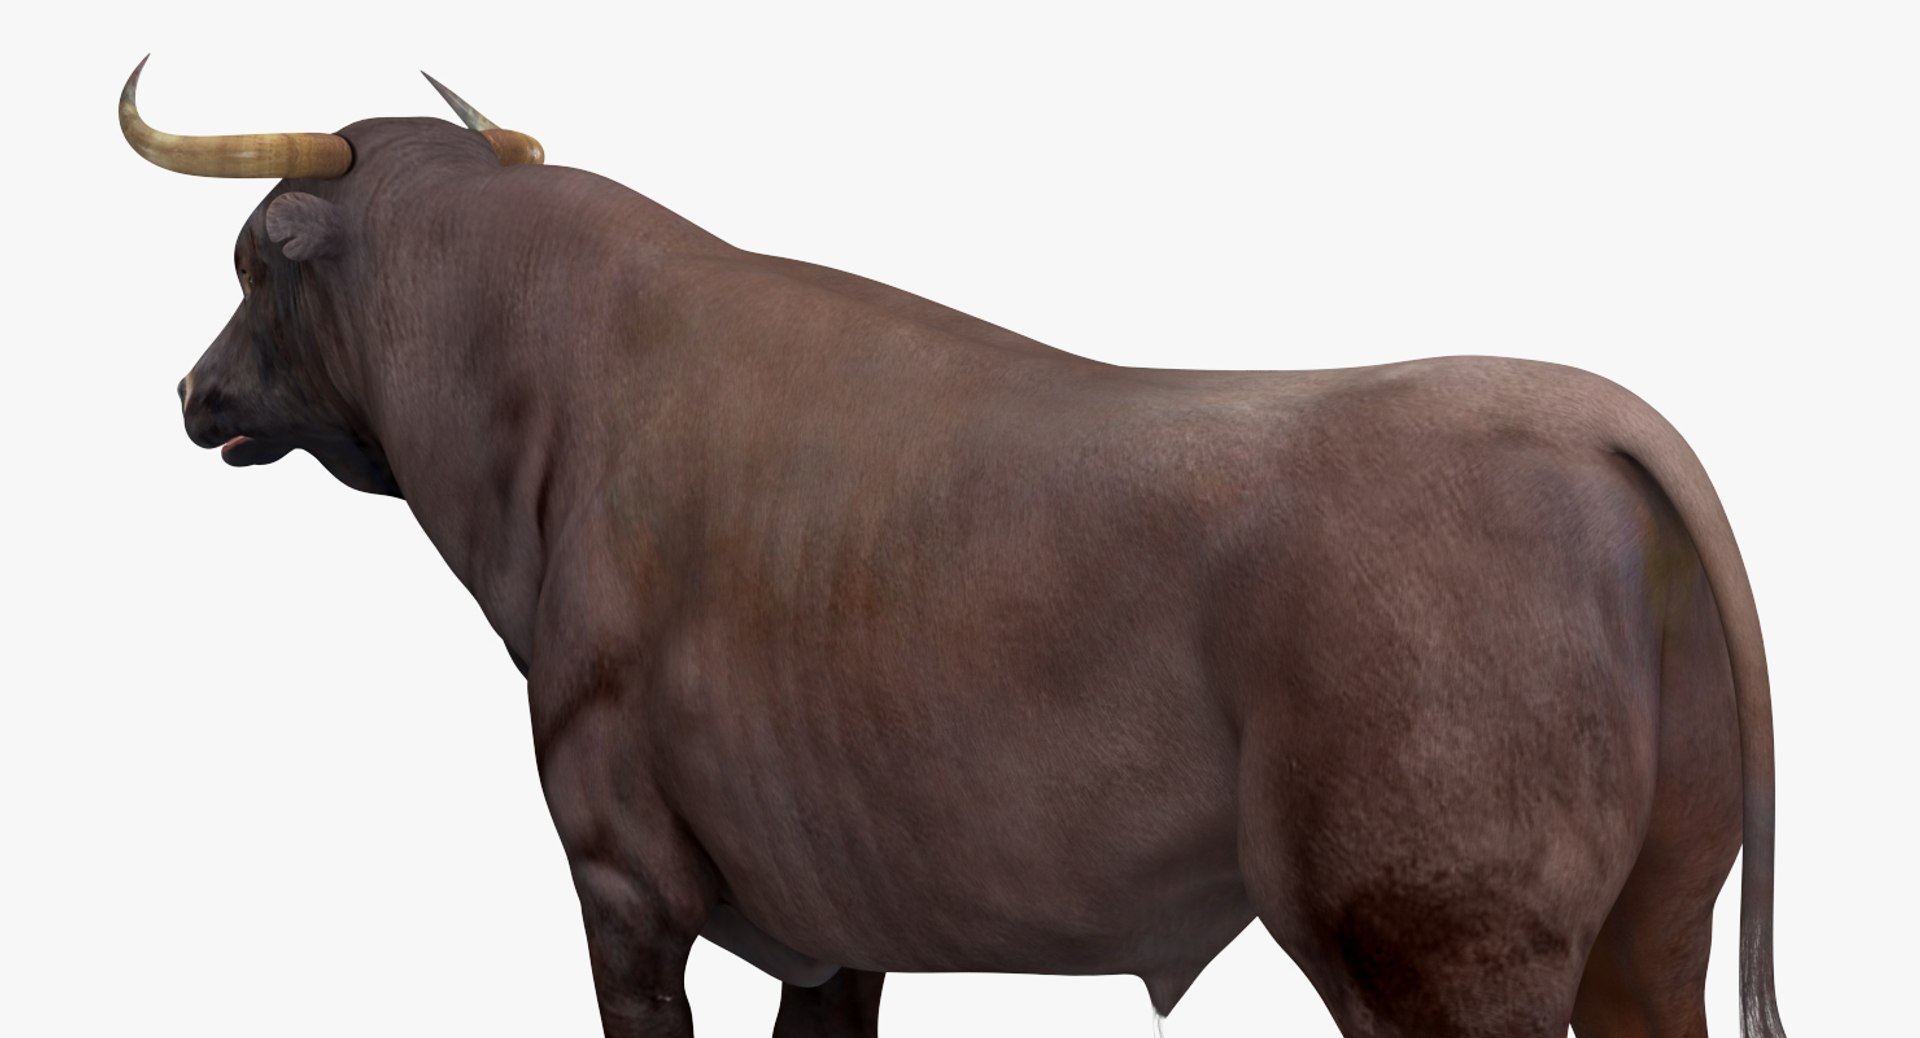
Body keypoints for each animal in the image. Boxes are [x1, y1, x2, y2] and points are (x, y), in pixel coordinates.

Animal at [122, 57, 1789, 1038]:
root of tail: (1587, 415)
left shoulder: (623, 879)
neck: (556, 387)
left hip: (1439, 952)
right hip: (1653, 932)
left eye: (254, 260)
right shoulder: (830, 914)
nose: (192, 394)